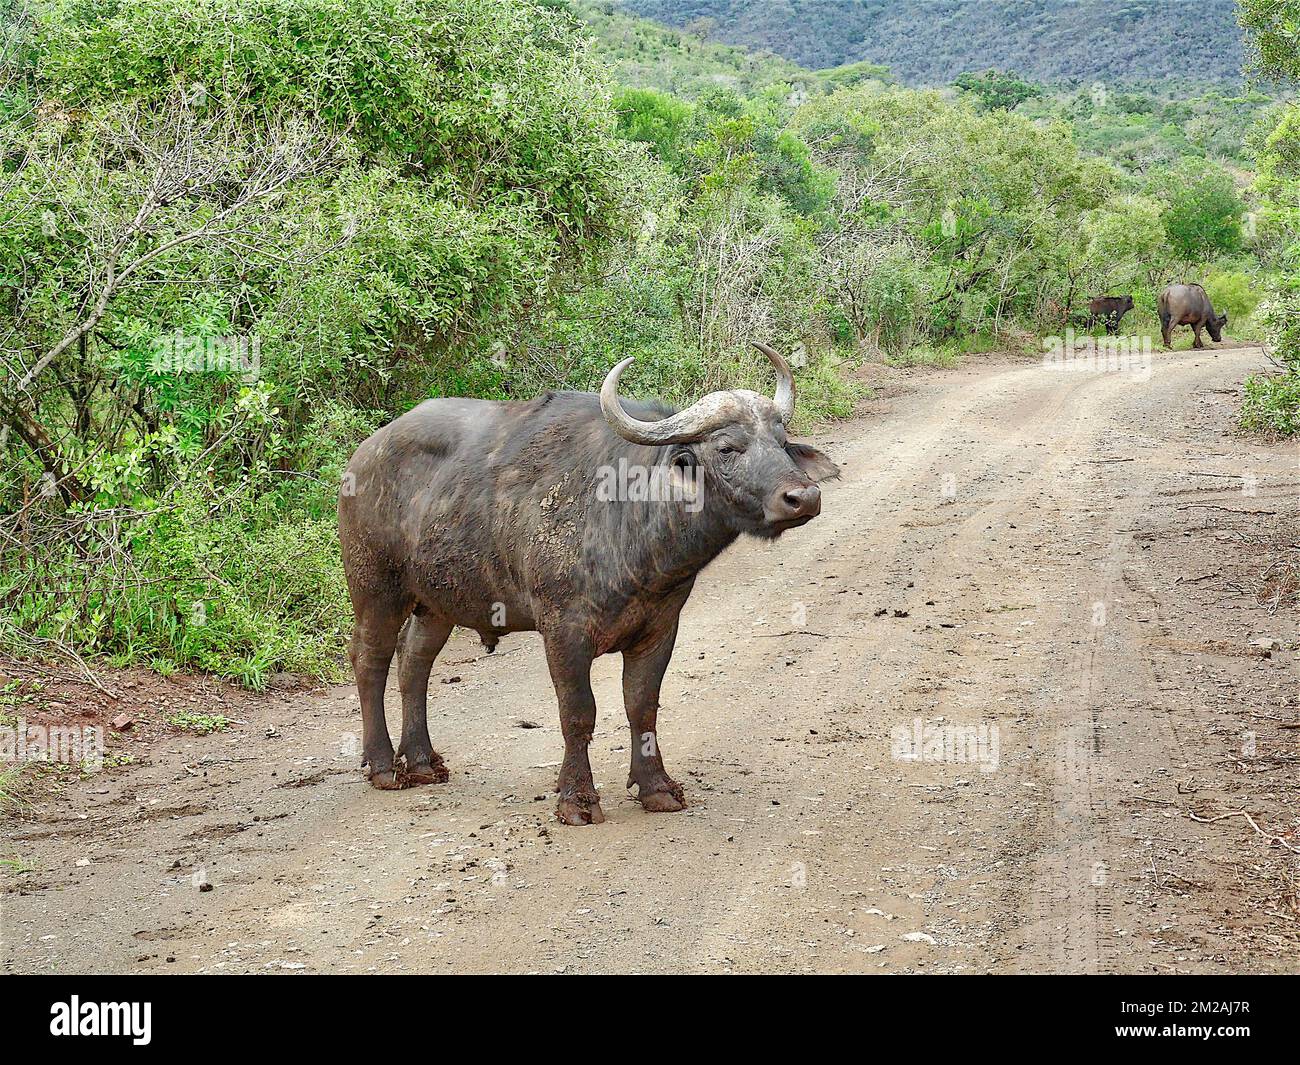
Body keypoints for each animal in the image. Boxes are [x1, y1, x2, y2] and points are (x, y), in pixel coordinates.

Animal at [338, 343, 837, 825]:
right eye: (727, 447)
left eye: (782, 443)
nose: (803, 497)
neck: (630, 517)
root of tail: (362, 456)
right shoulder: (563, 632)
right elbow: (578, 713)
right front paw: (577, 799)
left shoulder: (660, 628)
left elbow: (642, 704)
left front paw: (656, 788)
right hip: (376, 590)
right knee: (370, 659)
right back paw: (383, 766)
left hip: (437, 601)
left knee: (414, 661)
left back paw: (422, 761)